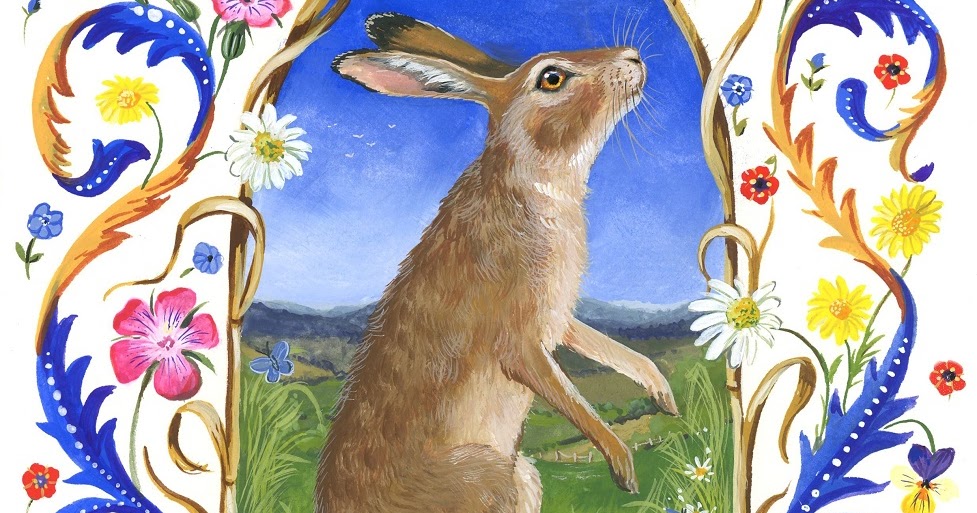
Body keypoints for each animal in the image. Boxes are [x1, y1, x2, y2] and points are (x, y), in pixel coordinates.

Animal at [315, 12, 678, 513]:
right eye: (551, 77)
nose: (634, 57)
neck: (535, 182)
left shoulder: (558, 318)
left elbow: (614, 349)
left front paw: (664, 396)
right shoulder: (519, 341)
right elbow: (567, 392)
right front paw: (623, 467)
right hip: (493, 476)